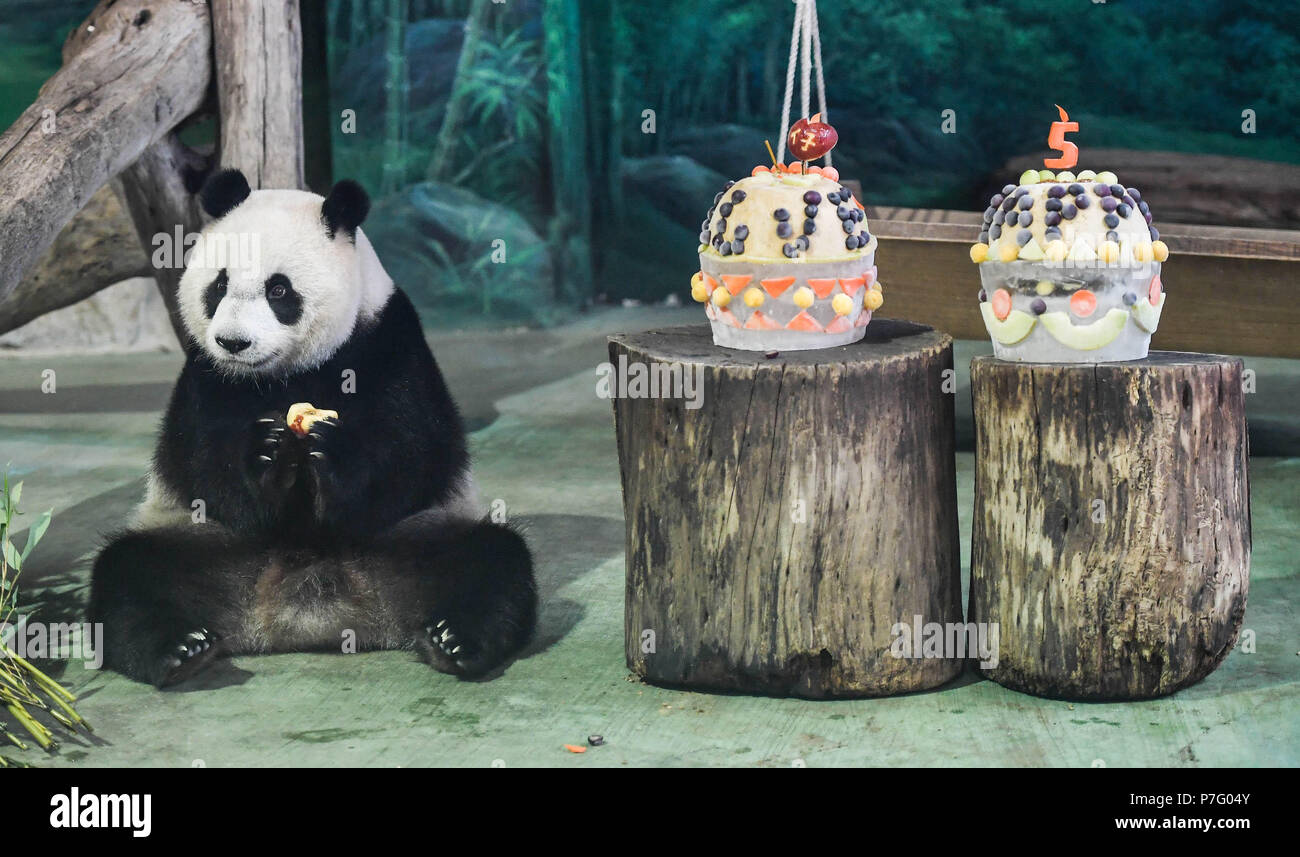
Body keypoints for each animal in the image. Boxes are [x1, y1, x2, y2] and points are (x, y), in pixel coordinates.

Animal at [89, 169, 537, 687]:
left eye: (279, 291)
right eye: (219, 285)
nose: (233, 342)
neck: (283, 375)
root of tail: (303, 608)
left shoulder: (388, 341)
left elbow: (413, 452)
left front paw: (332, 453)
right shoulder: (206, 373)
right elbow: (203, 466)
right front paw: (264, 454)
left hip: (416, 538)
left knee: (492, 560)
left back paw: (454, 641)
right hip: (201, 543)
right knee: (128, 573)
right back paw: (181, 649)